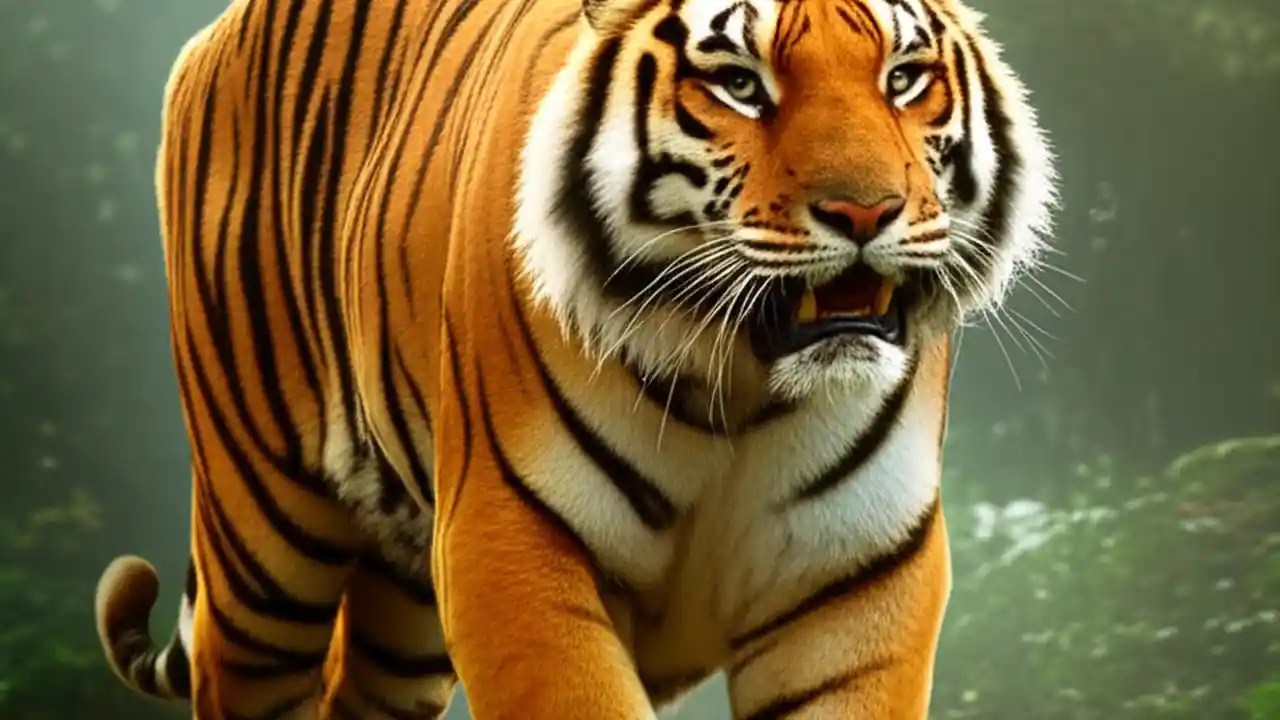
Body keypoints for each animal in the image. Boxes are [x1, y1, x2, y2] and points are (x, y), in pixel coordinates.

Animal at [92, 0, 1055, 717]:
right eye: (740, 84)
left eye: (903, 78)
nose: (865, 212)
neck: (743, 379)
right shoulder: (511, 546)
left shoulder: (854, 577)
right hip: (261, 546)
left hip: (401, 606)